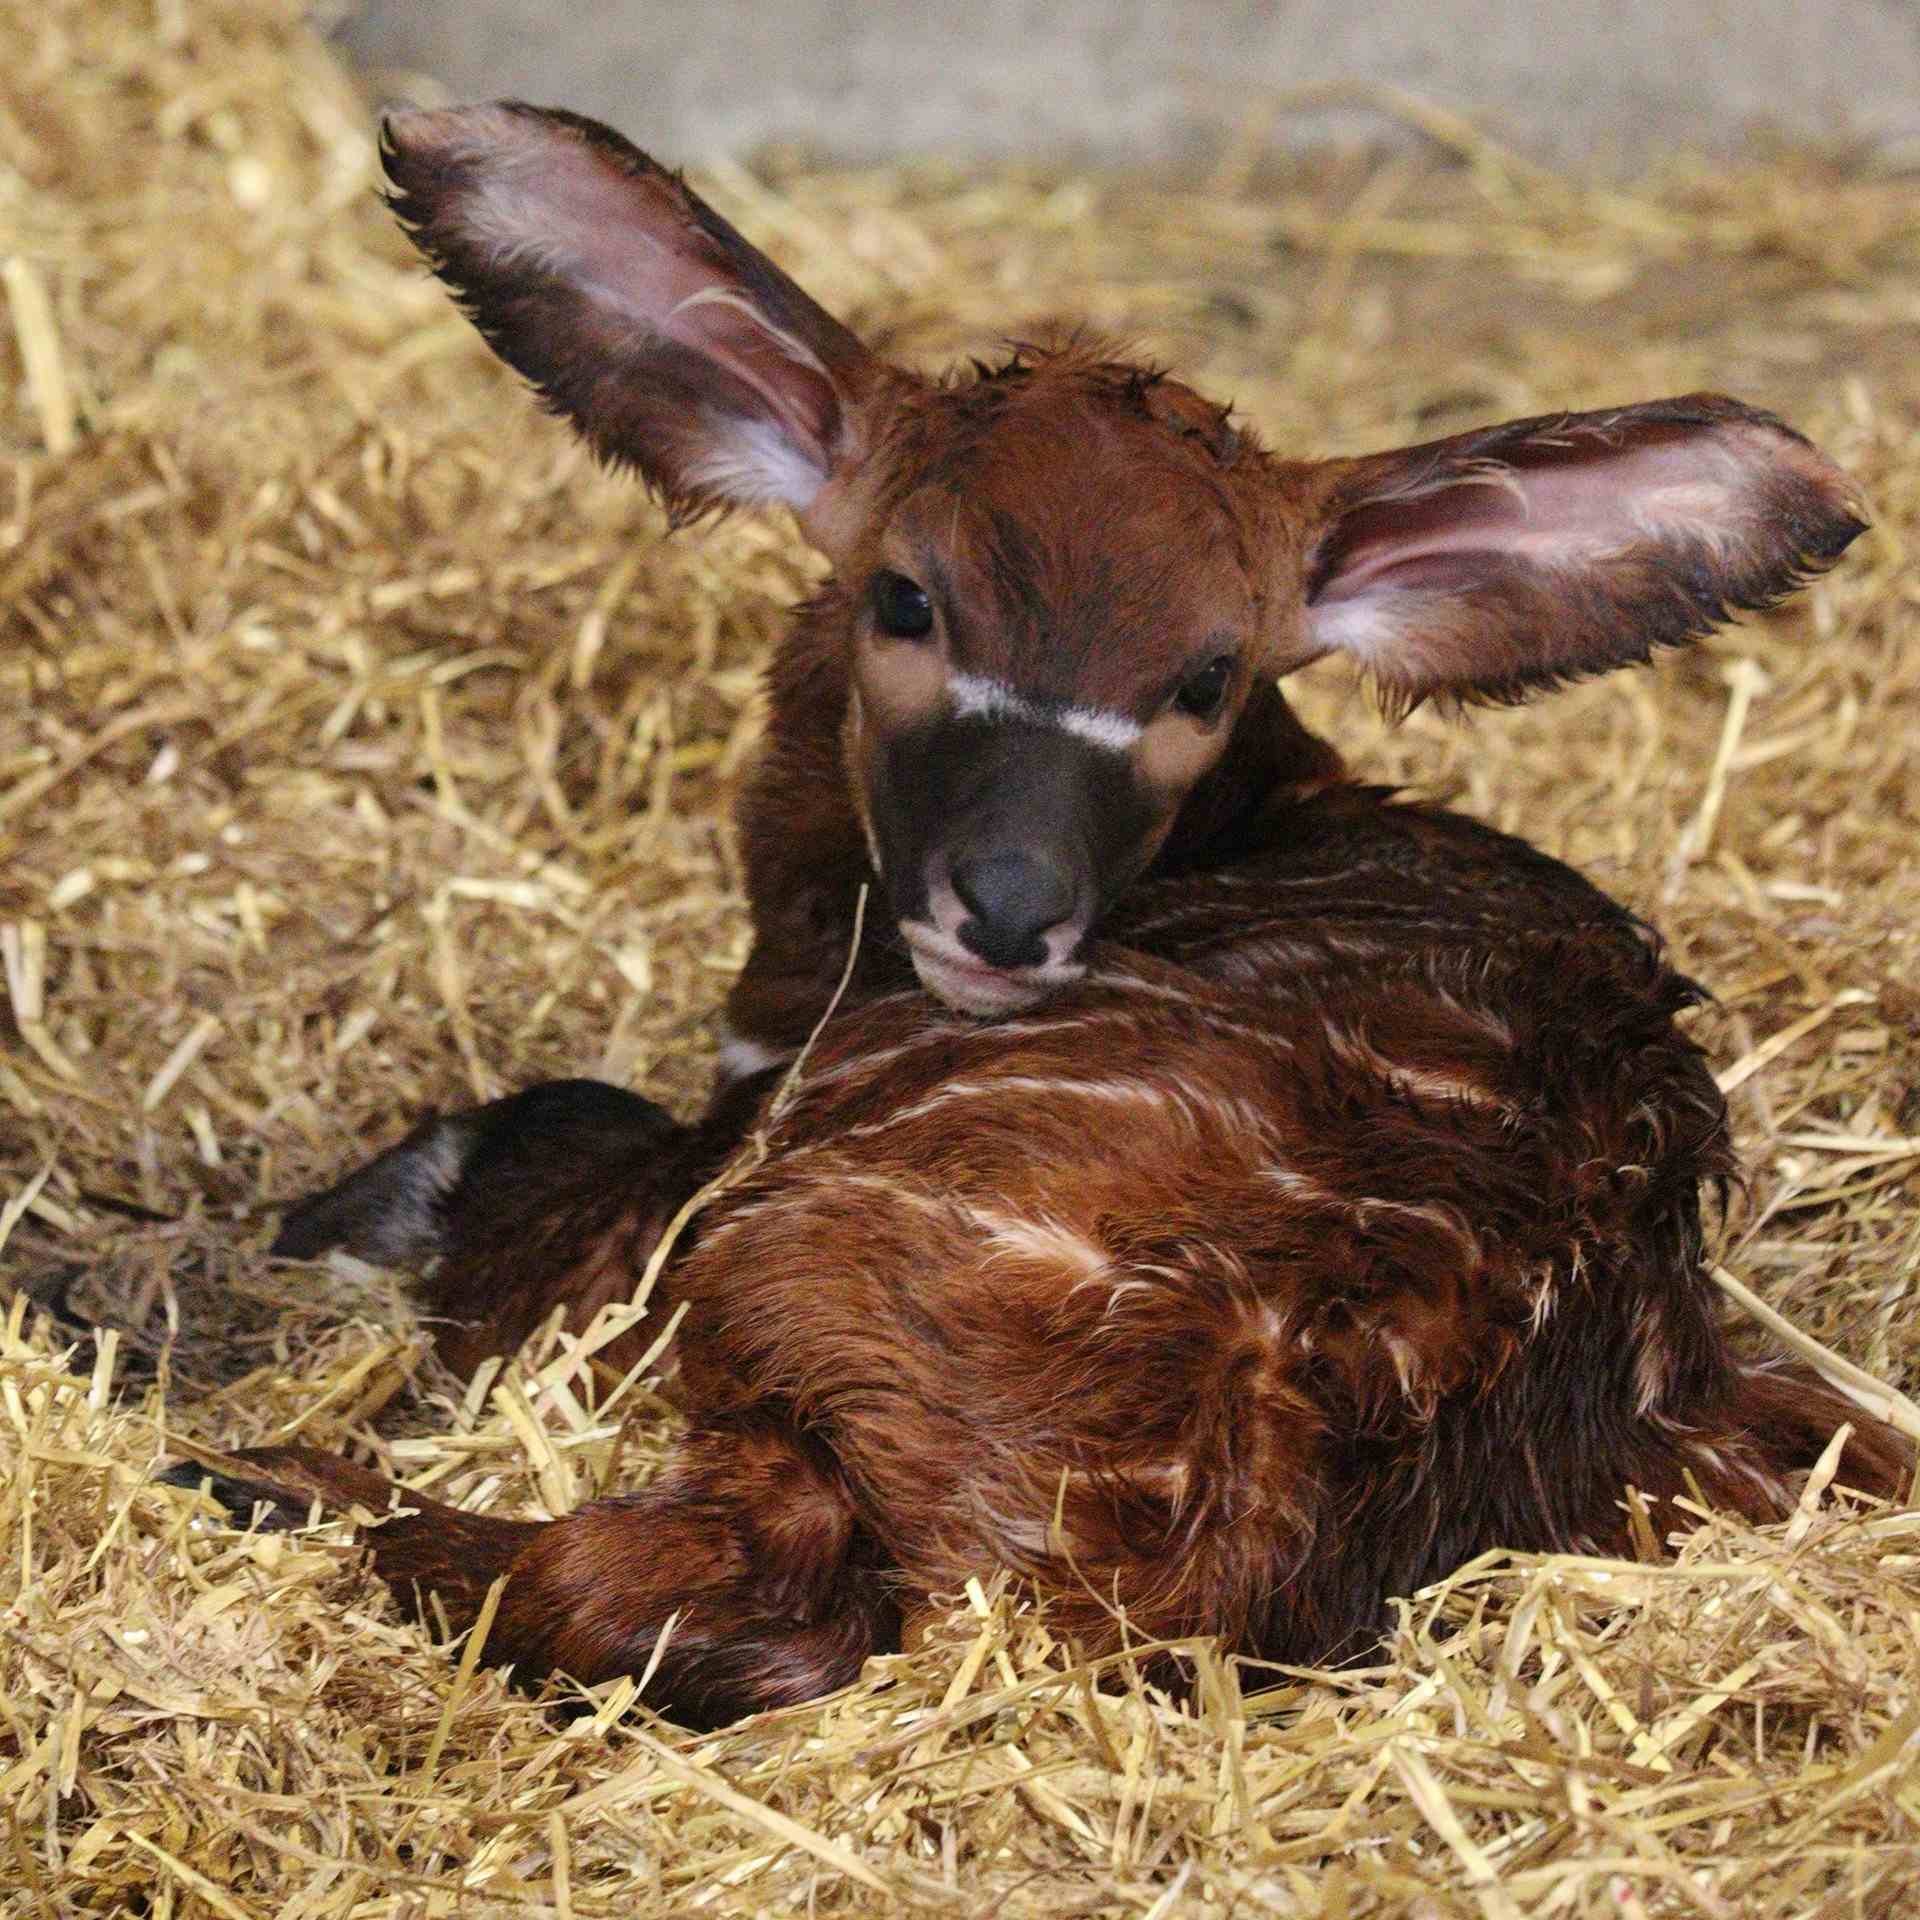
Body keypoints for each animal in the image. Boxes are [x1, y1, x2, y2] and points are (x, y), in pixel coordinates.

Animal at [165, 103, 1912, 1730]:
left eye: (1207, 674)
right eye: (909, 595)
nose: (1010, 911)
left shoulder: (676, 1193)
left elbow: (519, 1160)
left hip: (768, 1276)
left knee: (709, 1586)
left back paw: (272, 1483)